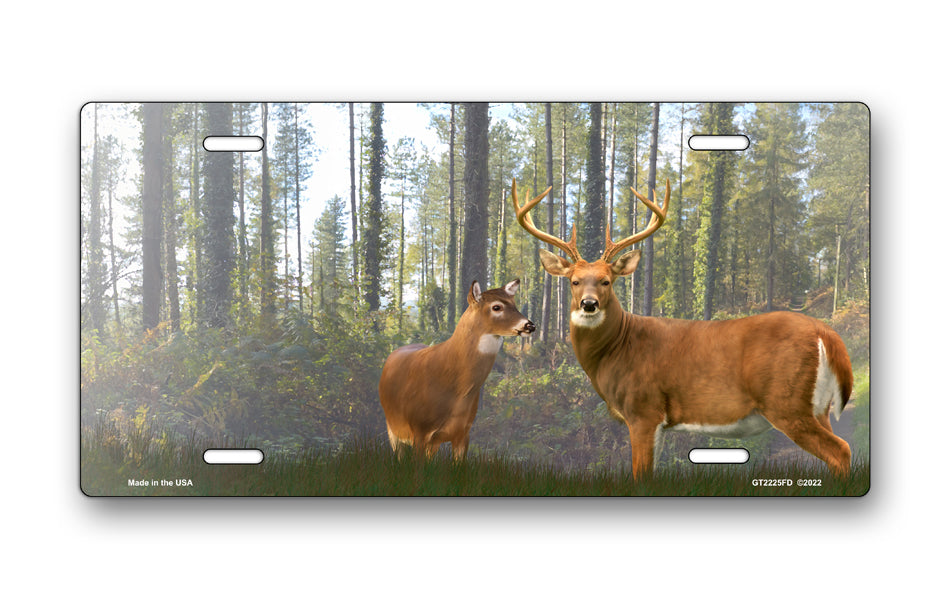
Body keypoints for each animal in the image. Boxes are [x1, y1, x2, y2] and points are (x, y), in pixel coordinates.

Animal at [378, 279, 535, 460]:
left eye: (514, 304)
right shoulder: (419, 430)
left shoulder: (463, 432)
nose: (530, 325)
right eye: (496, 307)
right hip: (393, 428)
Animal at [511, 179, 854, 479]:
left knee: (841, 450)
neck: (617, 349)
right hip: (818, 407)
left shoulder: (644, 410)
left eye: (607, 280)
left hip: (787, 403)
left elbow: (641, 475)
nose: (589, 304)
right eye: (574, 281)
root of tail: (825, 333)